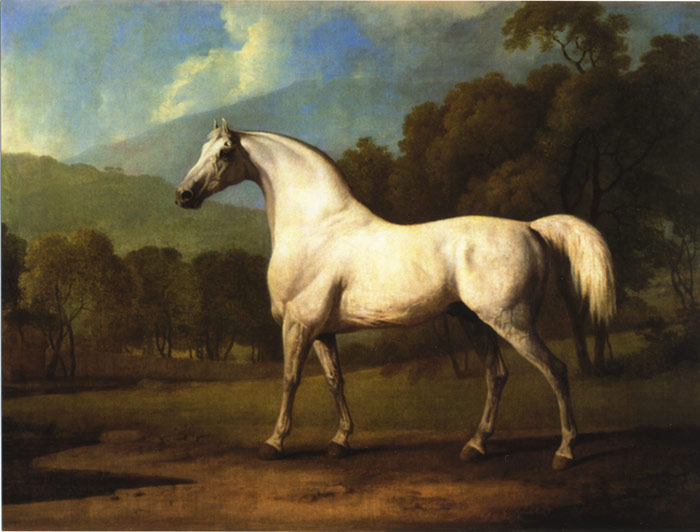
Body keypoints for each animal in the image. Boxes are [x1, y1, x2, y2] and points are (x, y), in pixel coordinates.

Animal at [176, 119, 615, 470]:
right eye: (201, 149)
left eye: (224, 152)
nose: (183, 195)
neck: (318, 228)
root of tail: (531, 228)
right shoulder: (322, 331)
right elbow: (335, 380)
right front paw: (340, 442)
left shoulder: (298, 325)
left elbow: (290, 379)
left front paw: (274, 443)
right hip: (475, 321)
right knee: (497, 375)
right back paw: (475, 446)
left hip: (512, 321)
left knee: (555, 370)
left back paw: (565, 452)